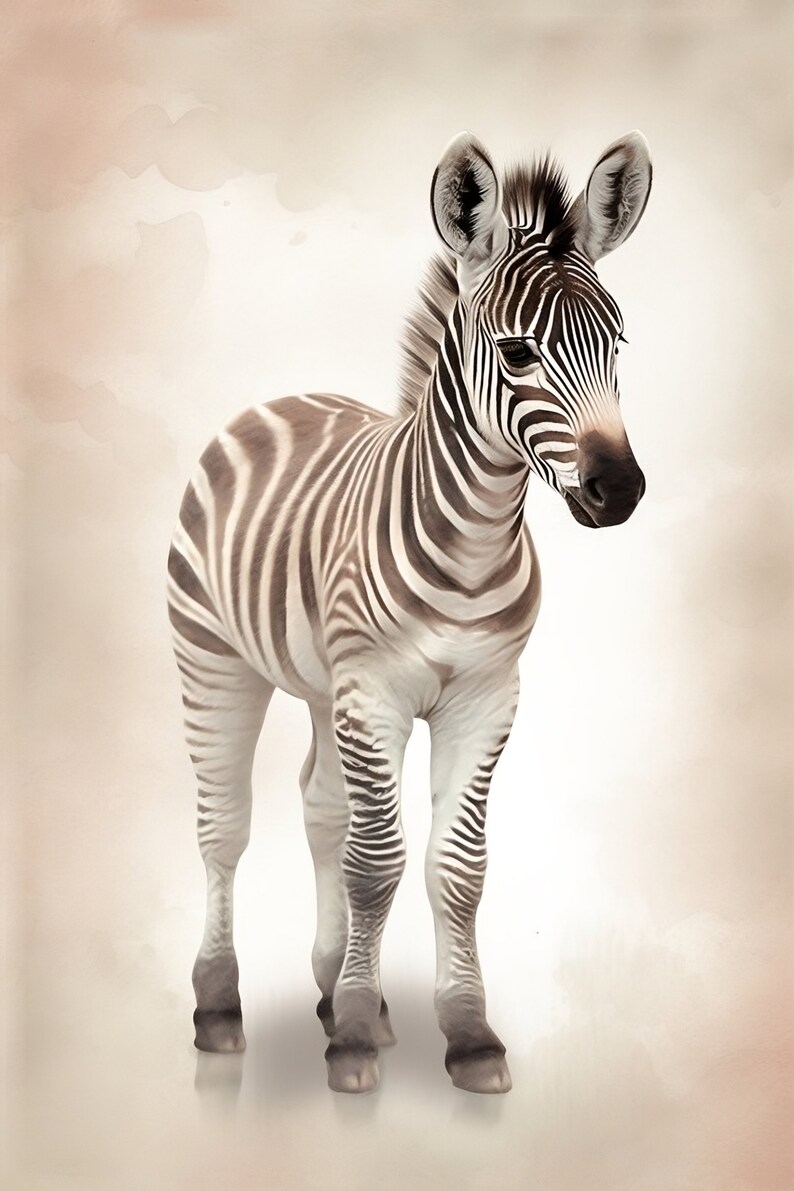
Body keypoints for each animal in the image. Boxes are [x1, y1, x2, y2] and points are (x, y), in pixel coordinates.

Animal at [167, 130, 652, 1095]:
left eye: (619, 343)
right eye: (516, 353)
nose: (618, 491)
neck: (470, 544)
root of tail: (277, 397)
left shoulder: (485, 697)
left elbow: (454, 867)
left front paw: (464, 1032)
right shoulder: (379, 695)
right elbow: (376, 861)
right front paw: (354, 1038)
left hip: (324, 686)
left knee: (319, 806)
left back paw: (329, 986)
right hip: (216, 662)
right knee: (224, 826)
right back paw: (221, 1006)